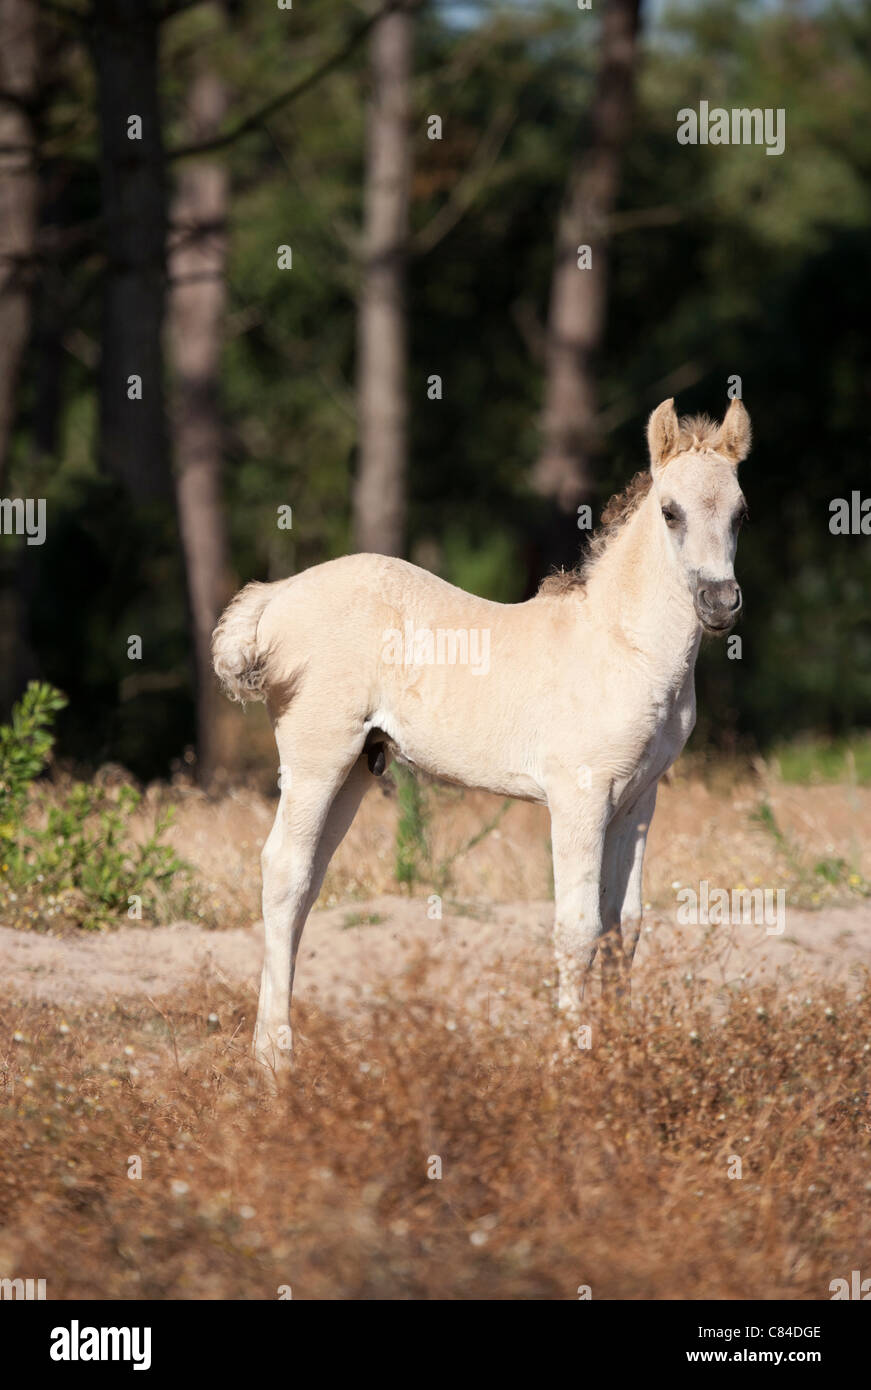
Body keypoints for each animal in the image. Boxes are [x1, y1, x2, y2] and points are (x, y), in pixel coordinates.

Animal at [212, 397, 751, 1070]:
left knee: (306, 881)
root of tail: (277, 596)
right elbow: (576, 928)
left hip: (357, 768)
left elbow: (621, 926)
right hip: (316, 760)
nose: (720, 603)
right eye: (670, 511)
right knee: (283, 871)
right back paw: (274, 1062)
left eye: (741, 512)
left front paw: (618, 1058)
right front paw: (571, 1060)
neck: (623, 646)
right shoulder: (579, 797)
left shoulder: (638, 800)